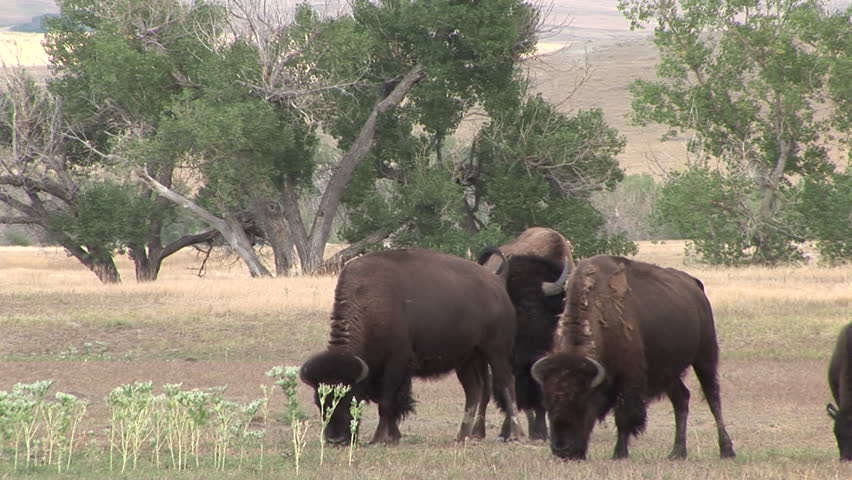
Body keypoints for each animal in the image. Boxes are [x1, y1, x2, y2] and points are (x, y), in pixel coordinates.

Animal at [300, 248, 524, 445]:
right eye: (318, 401)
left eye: (351, 397)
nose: (335, 440)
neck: (369, 304)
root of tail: (497, 282)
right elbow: (392, 403)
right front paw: (393, 437)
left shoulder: (396, 363)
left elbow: (386, 402)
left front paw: (379, 439)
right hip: (468, 358)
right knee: (474, 390)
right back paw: (463, 436)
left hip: (496, 351)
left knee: (506, 383)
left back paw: (514, 435)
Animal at [531, 255, 736, 460]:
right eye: (547, 403)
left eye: (583, 402)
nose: (562, 450)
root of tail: (695, 285)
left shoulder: (628, 379)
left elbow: (623, 417)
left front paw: (619, 453)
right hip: (669, 373)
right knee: (681, 399)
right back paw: (677, 452)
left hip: (705, 356)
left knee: (713, 398)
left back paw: (726, 450)